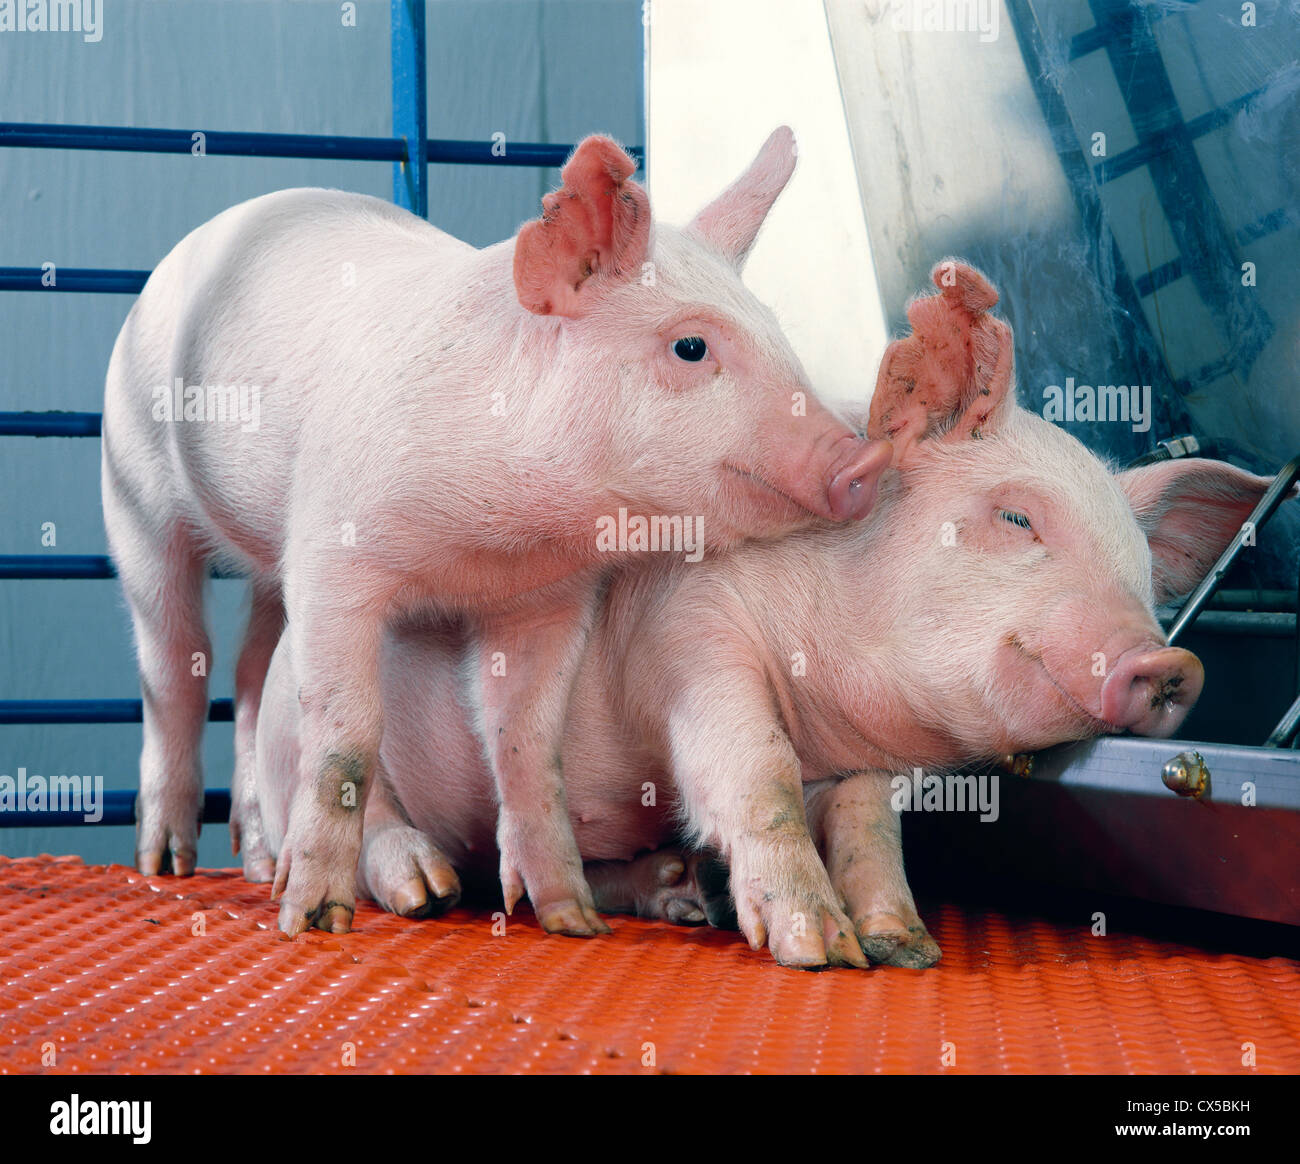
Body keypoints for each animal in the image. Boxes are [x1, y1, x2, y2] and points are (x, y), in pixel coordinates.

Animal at [100, 127, 891, 939]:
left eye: (778, 332)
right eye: (692, 347)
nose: (864, 457)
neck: (490, 540)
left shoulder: (547, 597)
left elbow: (527, 745)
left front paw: (570, 919)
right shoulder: (331, 551)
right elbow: (345, 738)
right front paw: (314, 920)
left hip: (259, 567)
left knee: (249, 675)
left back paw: (259, 862)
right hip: (131, 480)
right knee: (173, 660)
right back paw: (176, 862)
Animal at [254, 261, 1284, 967]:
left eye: (1142, 571)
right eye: (1017, 518)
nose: (1170, 664)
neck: (832, 694)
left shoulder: (866, 760)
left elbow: (872, 834)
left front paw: (905, 948)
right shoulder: (690, 641)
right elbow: (757, 776)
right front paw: (818, 948)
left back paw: (676, 895)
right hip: (306, 728)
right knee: (353, 803)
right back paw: (415, 890)